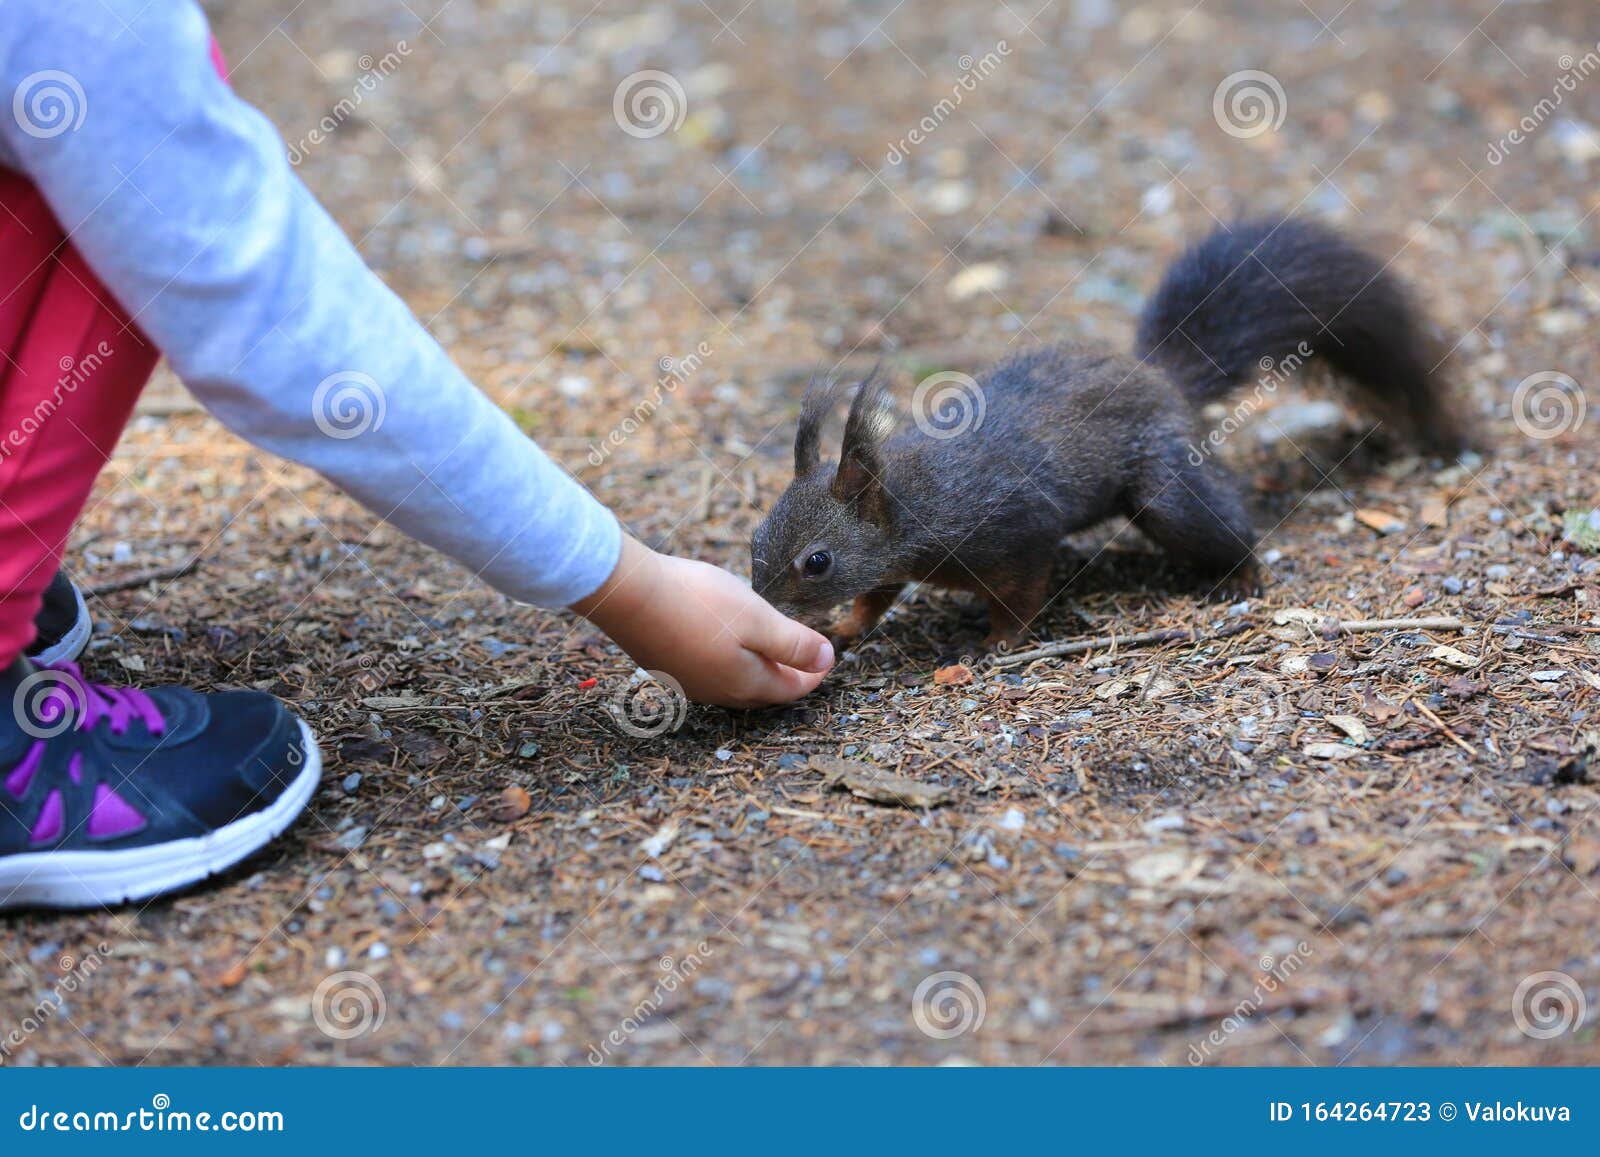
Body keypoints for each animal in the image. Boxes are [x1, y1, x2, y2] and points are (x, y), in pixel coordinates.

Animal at [750, 217, 1467, 648]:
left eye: (817, 561)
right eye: (755, 536)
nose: (762, 602)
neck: (910, 503)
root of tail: (1161, 379)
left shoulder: (1011, 532)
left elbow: (1023, 591)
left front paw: (998, 642)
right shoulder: (896, 562)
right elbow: (879, 592)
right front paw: (848, 625)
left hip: (1166, 491)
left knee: (1218, 521)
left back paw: (1240, 575)